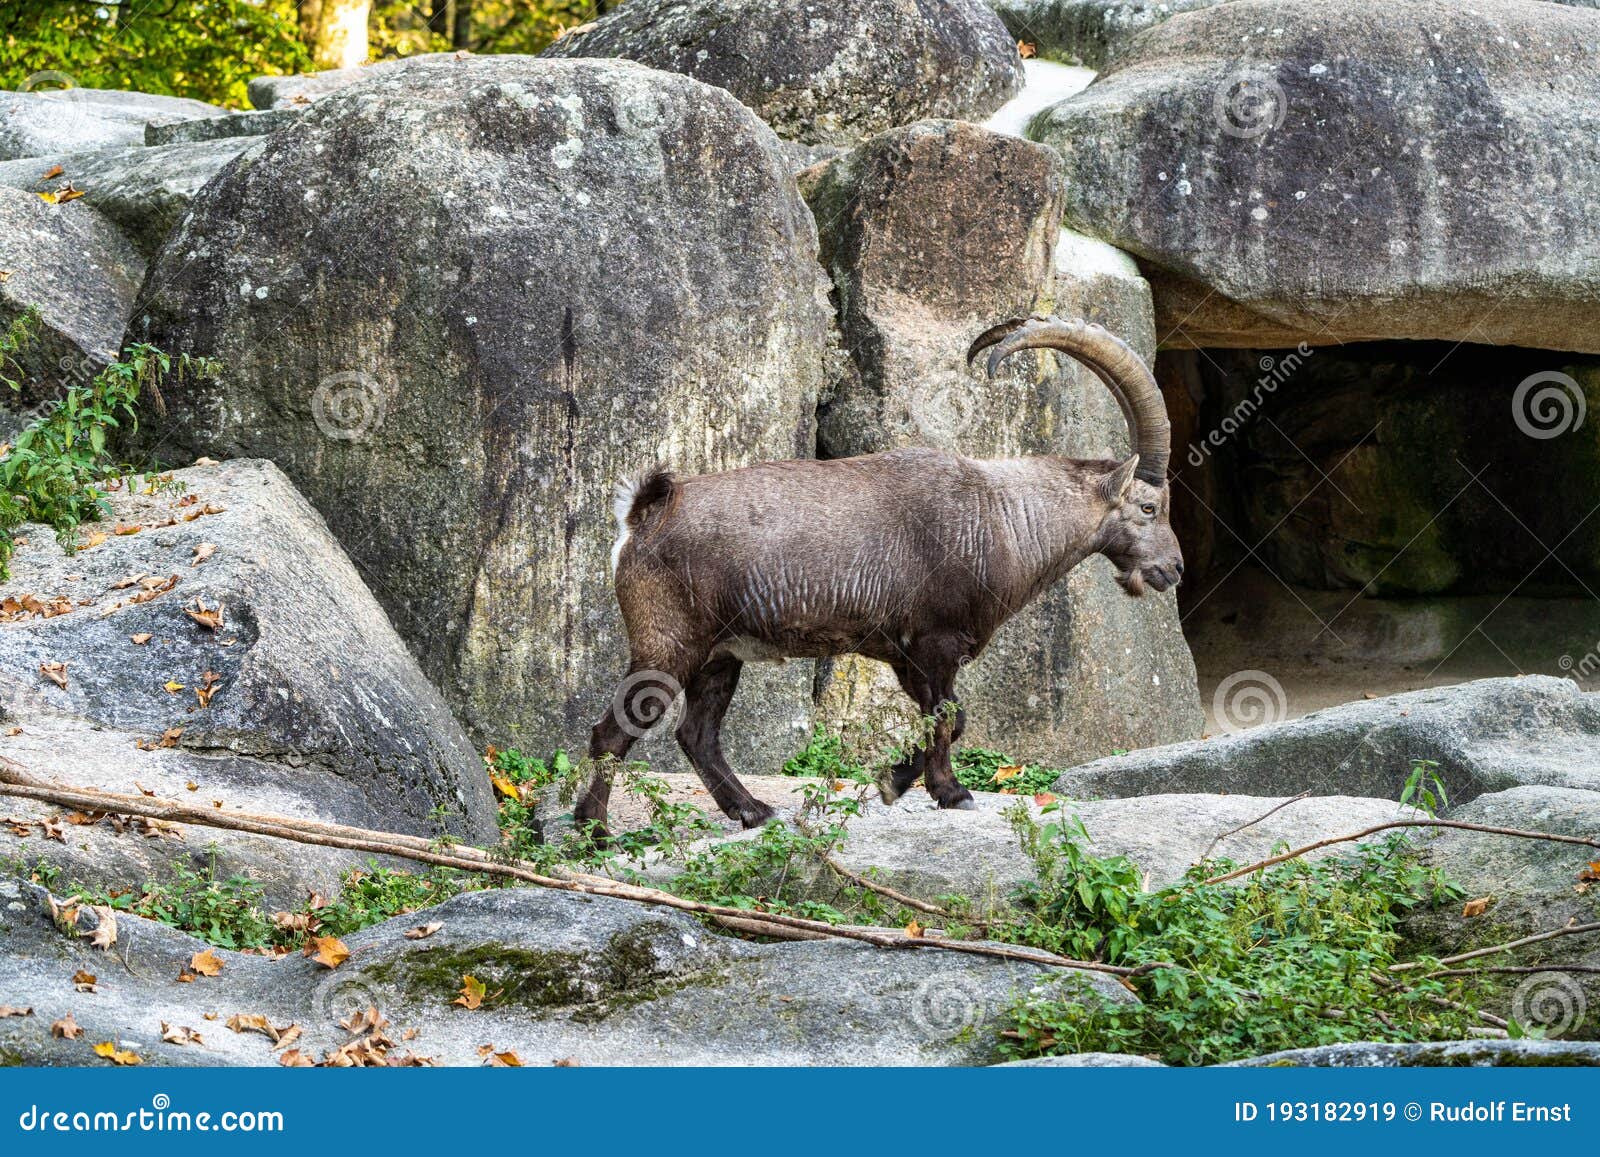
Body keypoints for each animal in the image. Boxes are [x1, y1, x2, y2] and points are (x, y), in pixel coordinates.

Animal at [576, 315, 1182, 835]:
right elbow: (947, 716)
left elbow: (949, 717)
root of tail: (643, 514)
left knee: (696, 733)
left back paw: (754, 811)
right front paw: (951, 792)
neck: (1005, 517)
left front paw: (896, 781)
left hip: (720, 655)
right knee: (615, 728)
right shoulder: (936, 641)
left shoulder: (906, 654)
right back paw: (594, 829)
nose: (1173, 569)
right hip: (669, 641)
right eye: (1150, 507)